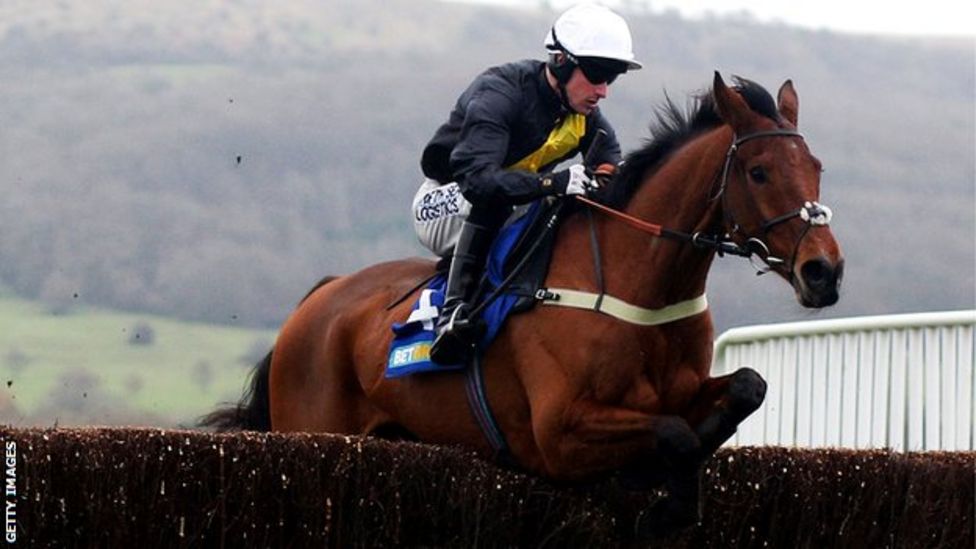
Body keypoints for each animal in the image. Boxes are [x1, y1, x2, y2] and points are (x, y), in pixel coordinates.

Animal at [204, 72, 844, 533]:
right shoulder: (557, 435)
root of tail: (321, 297)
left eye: (816, 167)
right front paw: (662, 498)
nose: (824, 271)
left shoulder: (679, 390)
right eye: (758, 172)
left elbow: (745, 388)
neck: (636, 286)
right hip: (313, 430)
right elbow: (675, 435)